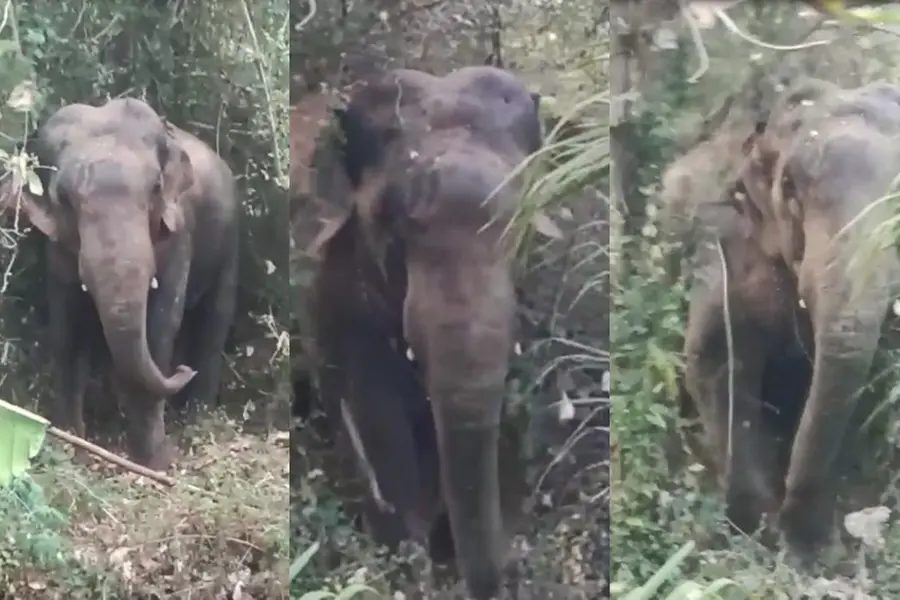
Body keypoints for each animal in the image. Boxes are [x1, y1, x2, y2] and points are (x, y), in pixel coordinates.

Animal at [0, 97, 240, 470]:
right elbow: (67, 327)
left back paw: (198, 422)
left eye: (155, 188)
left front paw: (154, 463)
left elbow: (161, 325)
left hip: (229, 243)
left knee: (214, 320)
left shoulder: (179, 229)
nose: (183, 370)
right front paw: (74, 448)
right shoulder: (59, 245)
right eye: (63, 198)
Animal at [310, 65, 542, 600]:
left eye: (520, 229)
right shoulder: (341, 301)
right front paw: (407, 566)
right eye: (395, 228)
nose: (506, 574)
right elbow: (374, 419)